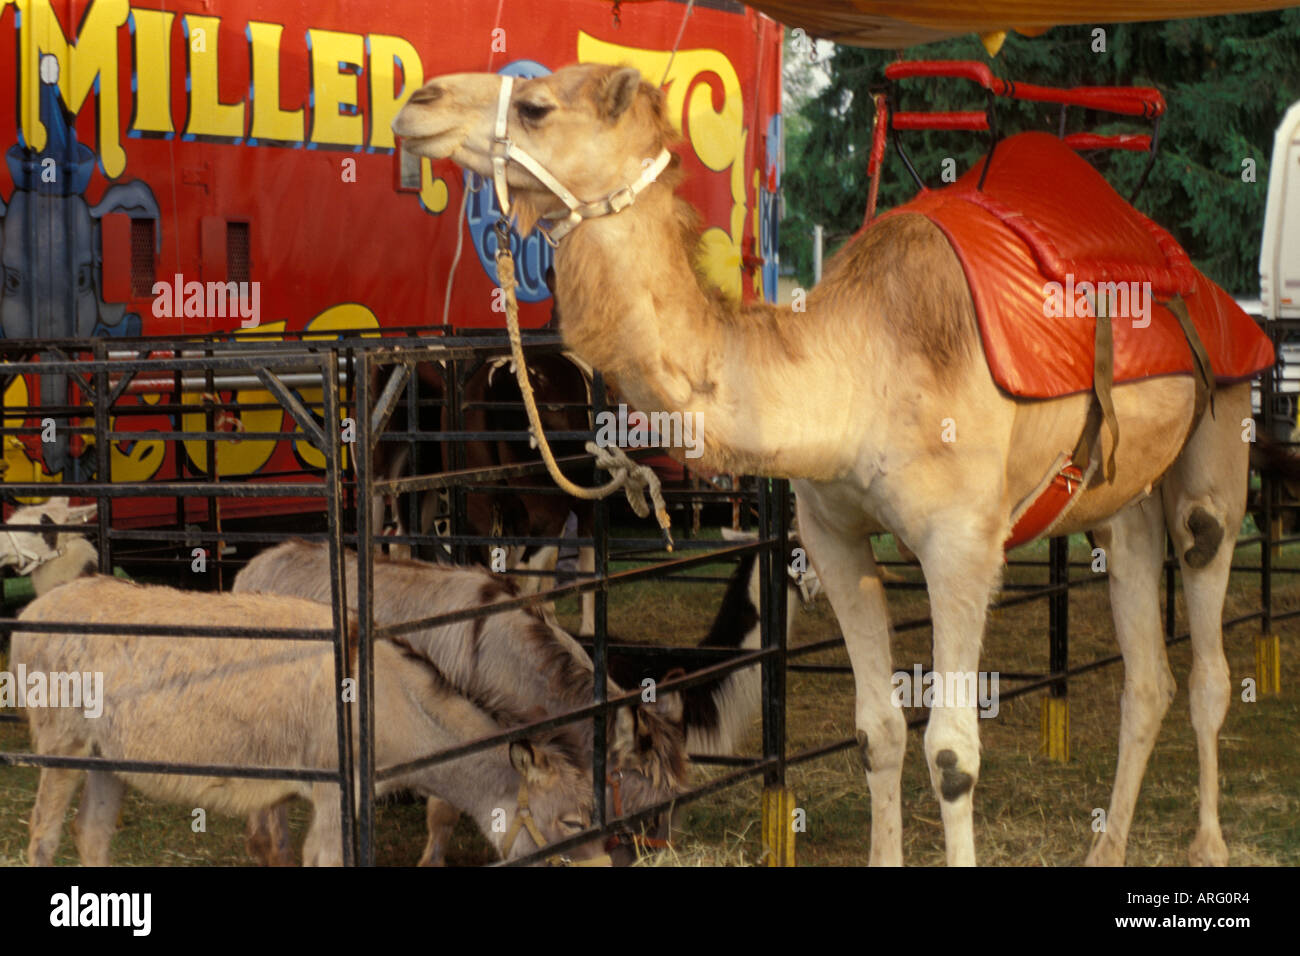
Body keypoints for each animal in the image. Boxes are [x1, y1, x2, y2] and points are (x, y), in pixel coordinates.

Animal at [394, 63, 1270, 867]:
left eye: (536, 107)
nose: (416, 104)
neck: (854, 373)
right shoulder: (833, 535)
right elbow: (877, 731)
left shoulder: (962, 545)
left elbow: (952, 753)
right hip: (1121, 502)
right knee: (1146, 676)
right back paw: (1107, 847)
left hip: (1221, 434)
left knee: (1207, 638)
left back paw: (1209, 844)